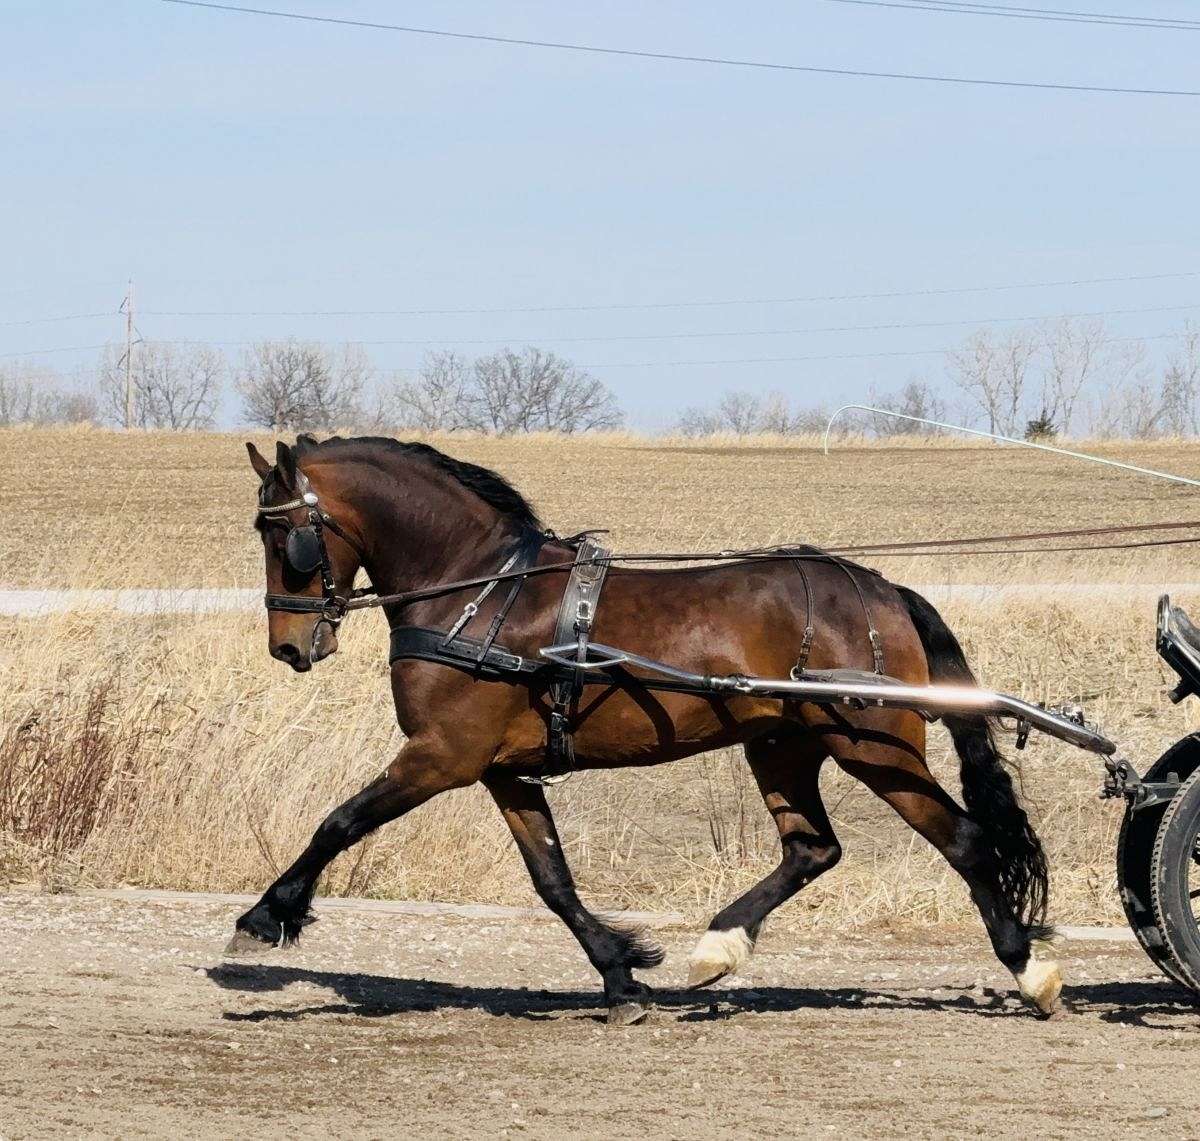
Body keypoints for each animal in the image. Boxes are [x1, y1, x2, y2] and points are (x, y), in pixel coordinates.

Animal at [230, 434, 1061, 1023]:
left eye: (284, 540)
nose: (288, 646)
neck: (479, 591)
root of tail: (883, 588)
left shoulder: (441, 757)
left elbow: (339, 822)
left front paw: (266, 914)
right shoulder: (503, 769)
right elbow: (553, 879)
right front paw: (621, 974)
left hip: (870, 746)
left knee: (964, 840)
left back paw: (1029, 969)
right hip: (780, 746)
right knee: (812, 847)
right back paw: (718, 945)